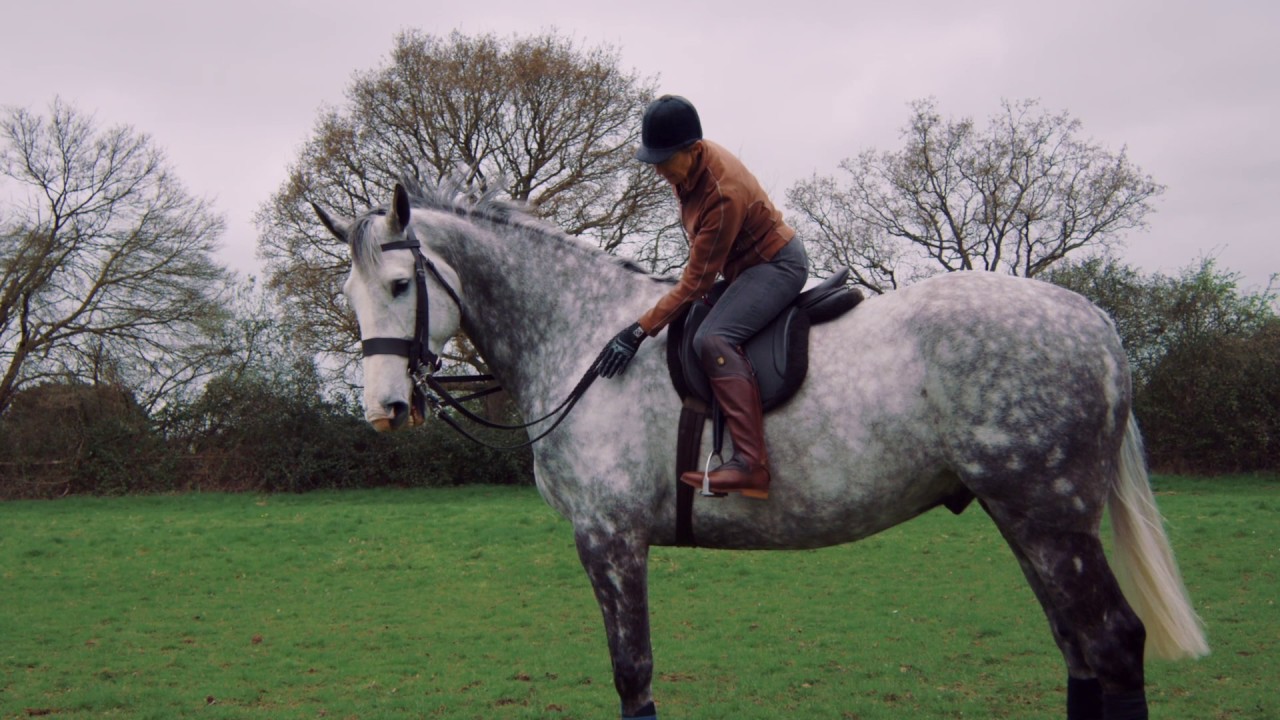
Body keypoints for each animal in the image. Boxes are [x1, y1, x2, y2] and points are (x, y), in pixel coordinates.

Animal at [313, 176, 1208, 720]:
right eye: (349, 292)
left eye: (400, 285)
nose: (386, 407)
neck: (586, 337)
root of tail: (1090, 319)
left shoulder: (609, 540)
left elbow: (632, 672)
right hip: (1027, 518)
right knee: (1079, 650)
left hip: (1048, 518)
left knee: (1111, 644)